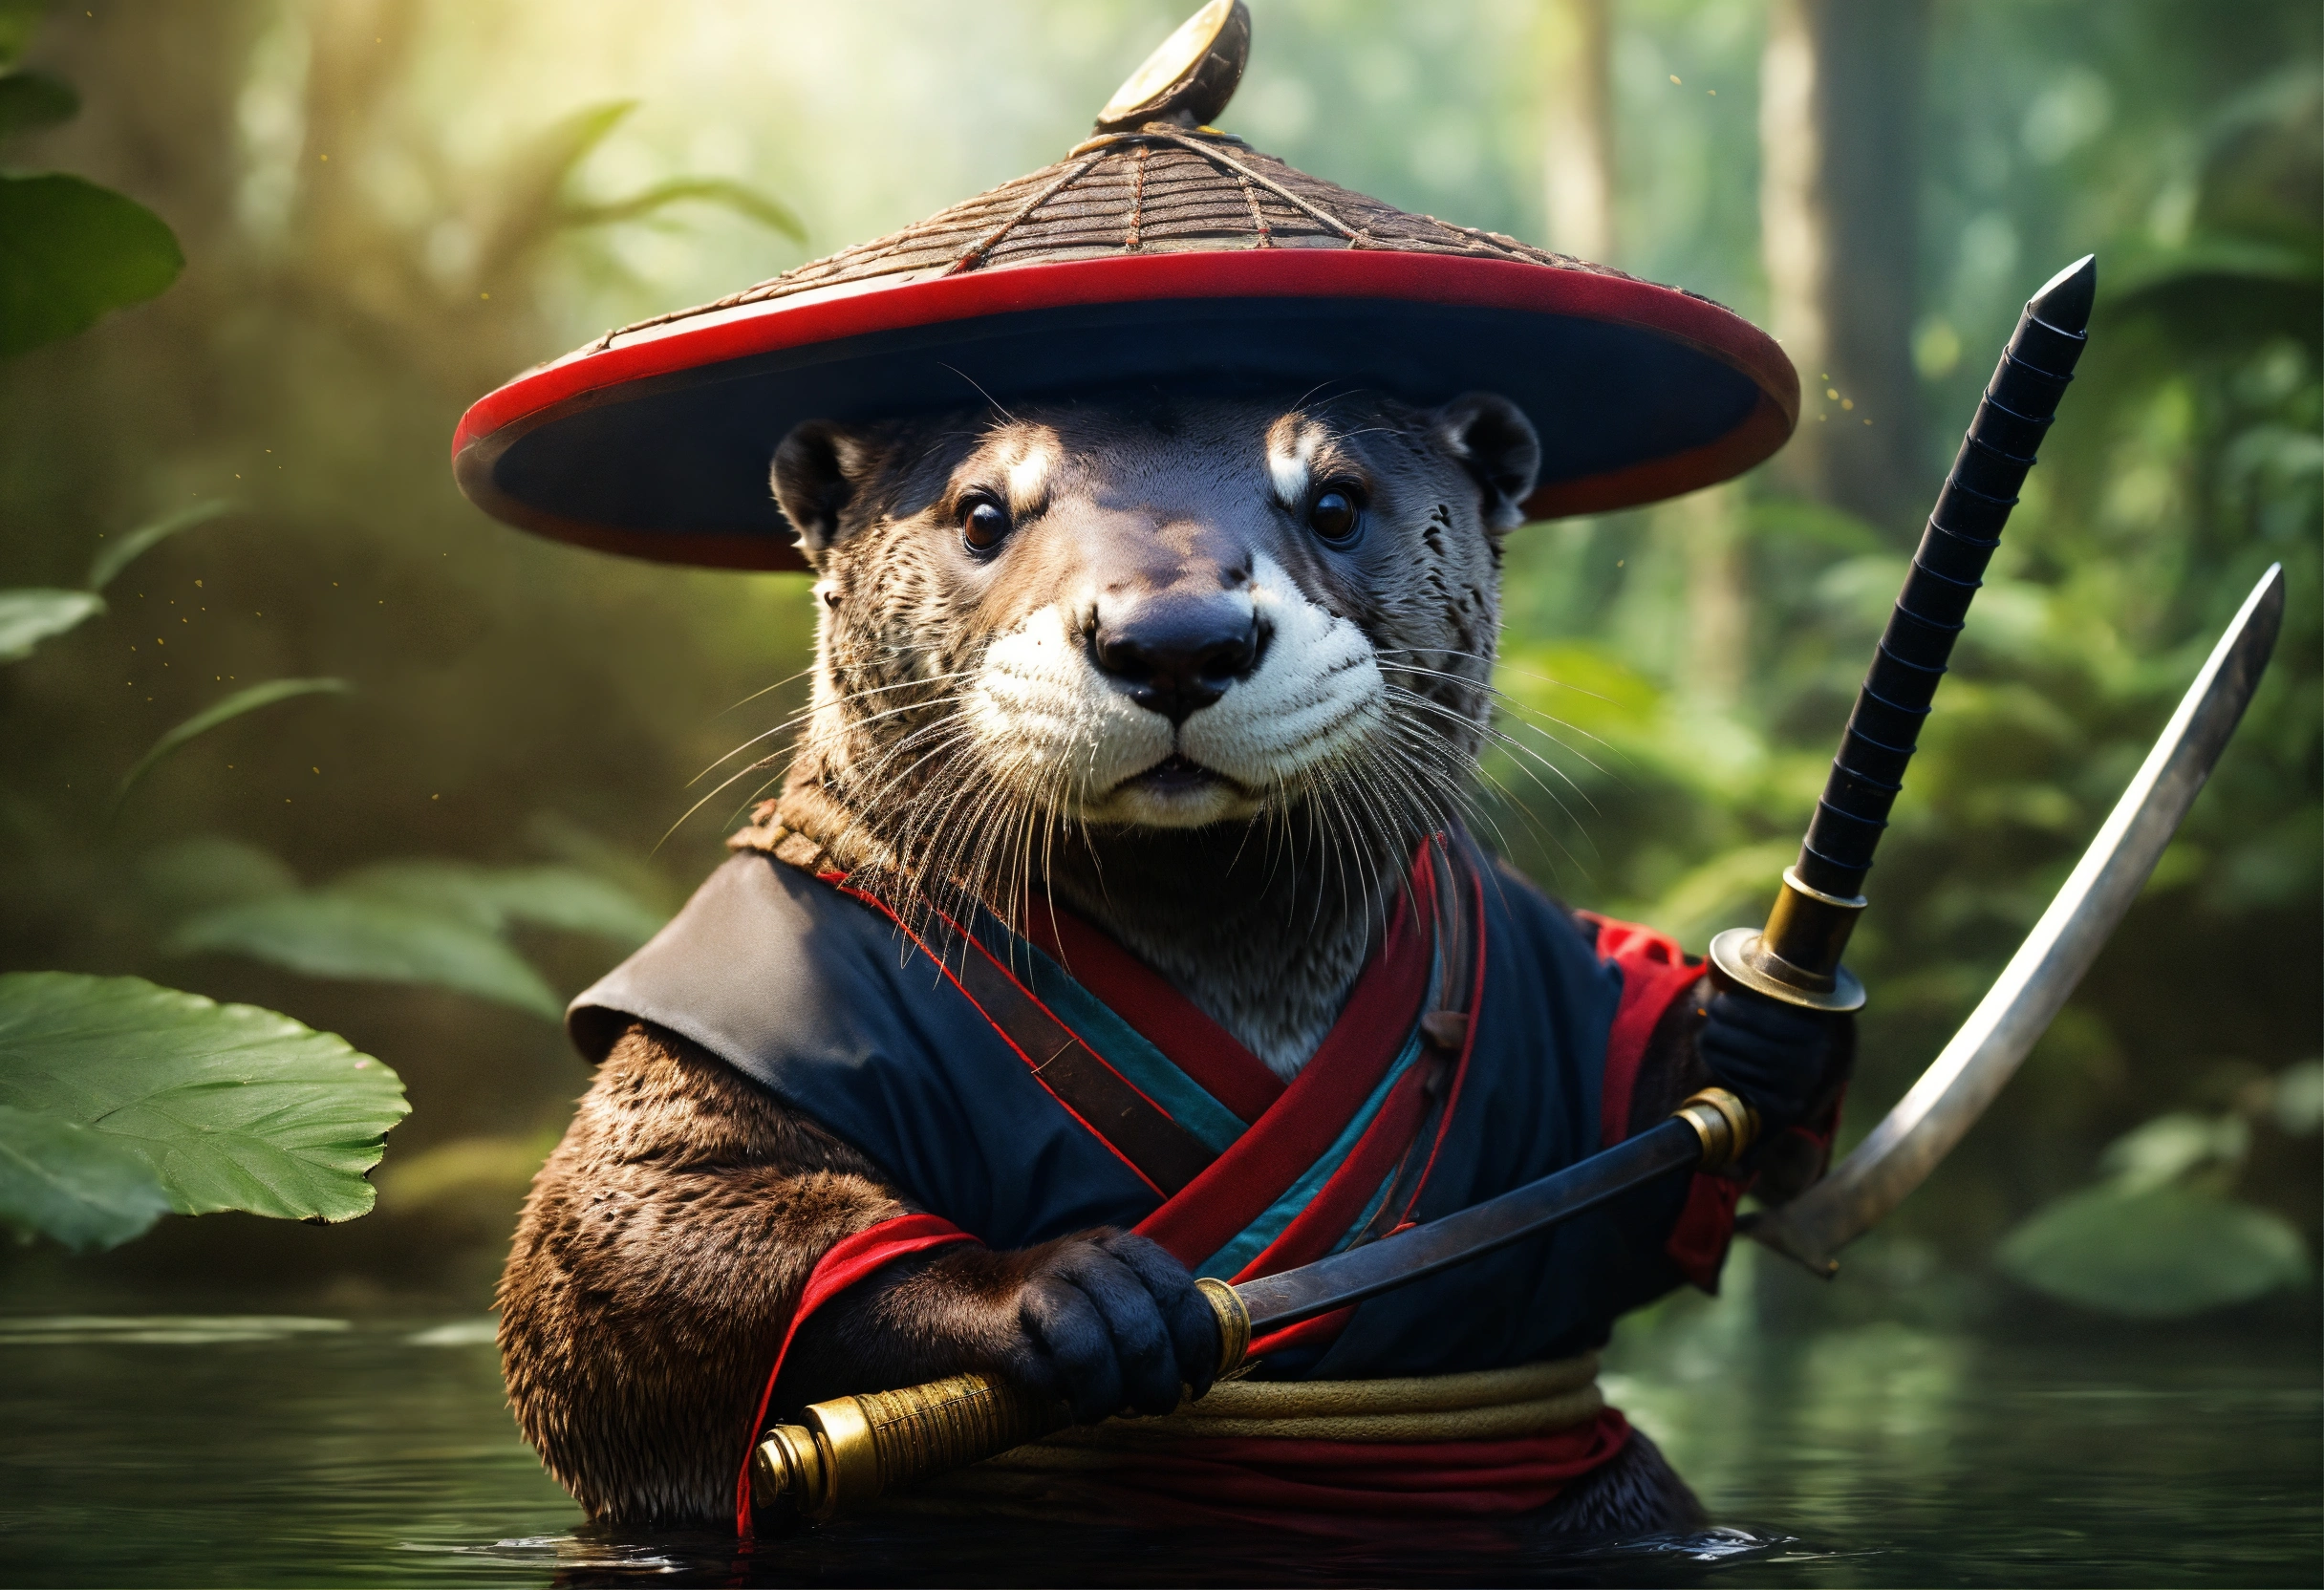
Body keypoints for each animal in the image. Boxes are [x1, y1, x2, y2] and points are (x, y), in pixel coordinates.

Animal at [496, 387, 1837, 1533]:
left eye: (1336, 502)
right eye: (981, 512)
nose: (1176, 638)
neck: (1237, 963)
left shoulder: (1539, 960)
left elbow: (1653, 1171)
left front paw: (1754, 1036)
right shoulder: (751, 980)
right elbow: (620, 1252)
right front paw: (1064, 1289)